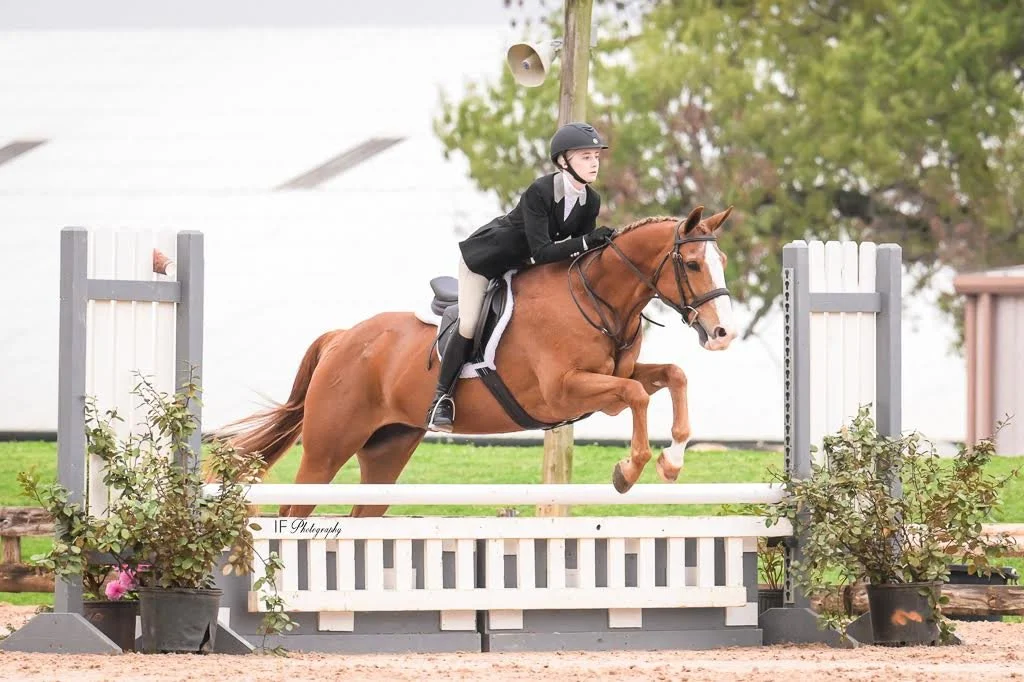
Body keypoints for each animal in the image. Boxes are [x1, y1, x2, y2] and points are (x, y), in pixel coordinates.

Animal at [214, 205, 737, 518]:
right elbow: (635, 396)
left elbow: (671, 376)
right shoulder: (563, 392)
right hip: (326, 450)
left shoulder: (610, 380)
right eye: (692, 264)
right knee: (292, 515)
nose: (723, 334)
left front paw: (671, 462)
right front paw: (629, 471)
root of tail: (343, 339)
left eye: (724, 262)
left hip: (387, 450)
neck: (596, 298)